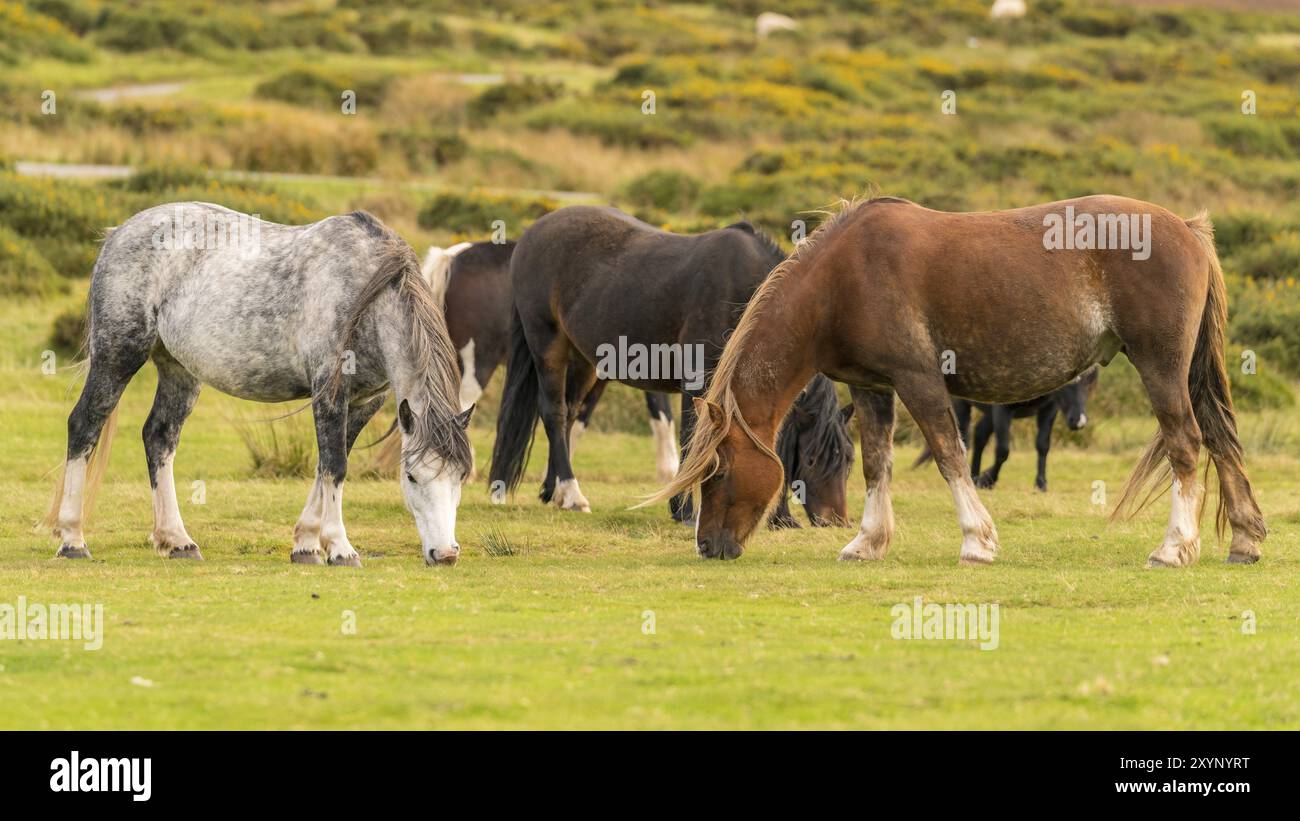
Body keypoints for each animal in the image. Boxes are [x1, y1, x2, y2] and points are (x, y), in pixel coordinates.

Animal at [42, 203, 473, 567]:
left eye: (461, 476)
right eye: (411, 475)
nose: (445, 554)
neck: (366, 293)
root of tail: (118, 233)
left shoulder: (366, 400)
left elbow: (326, 464)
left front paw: (306, 544)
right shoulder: (329, 391)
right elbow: (335, 466)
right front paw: (340, 548)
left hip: (179, 369)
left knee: (159, 437)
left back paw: (177, 540)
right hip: (118, 355)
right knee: (84, 426)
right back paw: (73, 539)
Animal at [488, 205, 854, 525]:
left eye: (848, 460)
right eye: (812, 458)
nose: (834, 520)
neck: (743, 290)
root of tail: (532, 233)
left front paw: (780, 519)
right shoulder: (697, 381)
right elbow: (692, 437)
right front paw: (684, 509)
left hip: (583, 360)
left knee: (570, 412)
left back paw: (555, 492)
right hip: (547, 344)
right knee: (554, 413)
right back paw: (571, 493)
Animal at [913, 367, 1099, 490]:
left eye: (1089, 383)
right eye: (1068, 384)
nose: (1079, 421)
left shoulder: (1049, 409)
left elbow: (1042, 446)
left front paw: (1040, 483)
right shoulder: (1001, 410)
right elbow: (1003, 450)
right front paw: (988, 479)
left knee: (980, 436)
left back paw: (974, 476)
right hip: (961, 407)